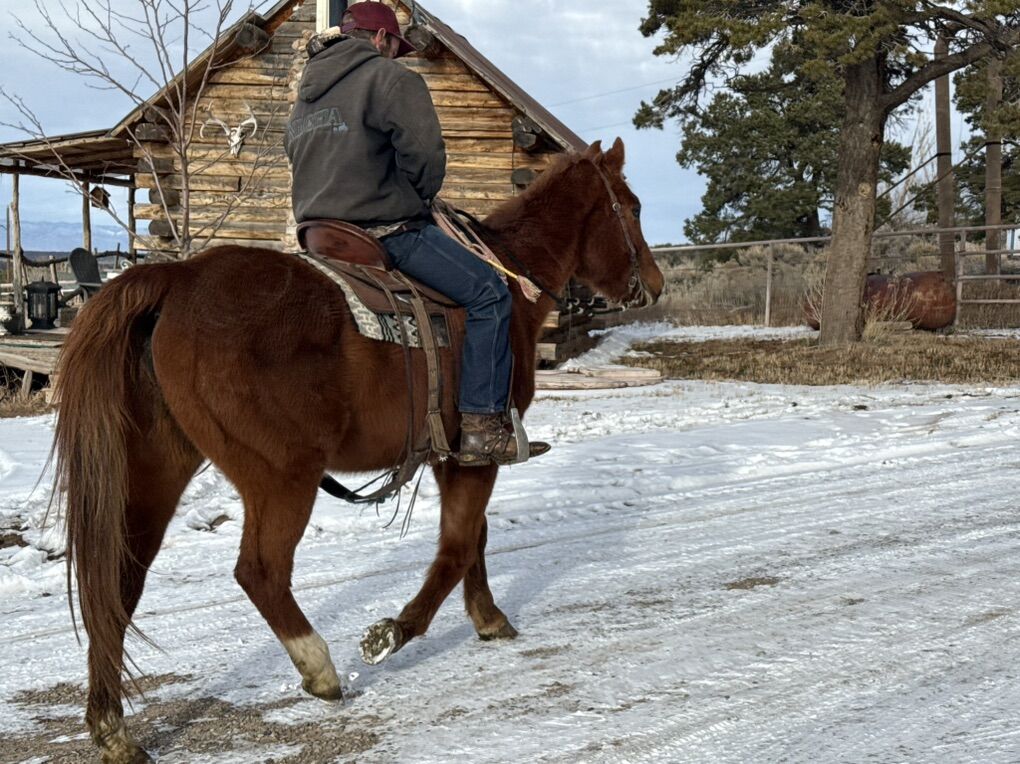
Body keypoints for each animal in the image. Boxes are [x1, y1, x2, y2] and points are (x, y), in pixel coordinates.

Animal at [53, 137, 664, 763]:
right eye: (633, 207)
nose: (656, 282)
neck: (509, 285)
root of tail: (178, 277)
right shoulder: (478, 453)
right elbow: (458, 545)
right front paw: (395, 631)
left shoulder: (453, 457)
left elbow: (474, 538)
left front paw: (489, 618)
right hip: (283, 477)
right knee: (259, 571)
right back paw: (318, 667)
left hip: (156, 472)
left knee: (117, 583)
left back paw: (112, 727)